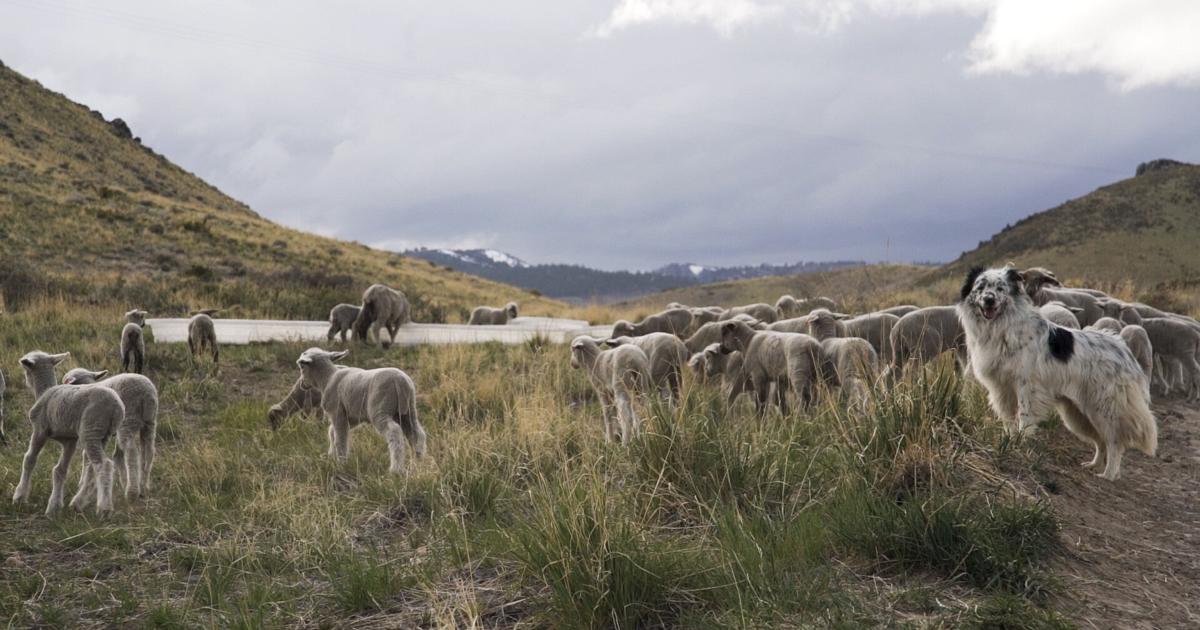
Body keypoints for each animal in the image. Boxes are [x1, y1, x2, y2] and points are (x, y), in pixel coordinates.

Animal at [13, 351, 124, 515]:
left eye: (26, 370)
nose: (26, 382)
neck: (44, 391)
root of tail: (117, 407)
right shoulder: (69, 440)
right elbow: (60, 470)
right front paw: (54, 506)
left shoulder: (40, 429)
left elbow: (29, 459)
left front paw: (19, 496)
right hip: (103, 435)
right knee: (92, 467)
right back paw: (78, 502)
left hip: (90, 430)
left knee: (104, 465)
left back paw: (104, 508)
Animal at [62, 368, 158, 500]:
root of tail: (146, 394)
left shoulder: (90, 429)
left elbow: (85, 455)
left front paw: (82, 483)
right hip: (150, 421)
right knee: (148, 451)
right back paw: (143, 488)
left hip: (129, 419)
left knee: (131, 452)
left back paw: (132, 491)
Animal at [296, 348, 427, 473]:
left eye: (302, 367)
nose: (302, 384)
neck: (327, 379)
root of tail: (400, 381)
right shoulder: (352, 416)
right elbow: (332, 432)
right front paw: (331, 456)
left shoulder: (337, 412)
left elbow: (340, 438)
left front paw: (341, 462)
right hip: (408, 410)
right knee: (416, 433)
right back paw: (419, 461)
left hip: (379, 410)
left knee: (394, 432)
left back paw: (396, 469)